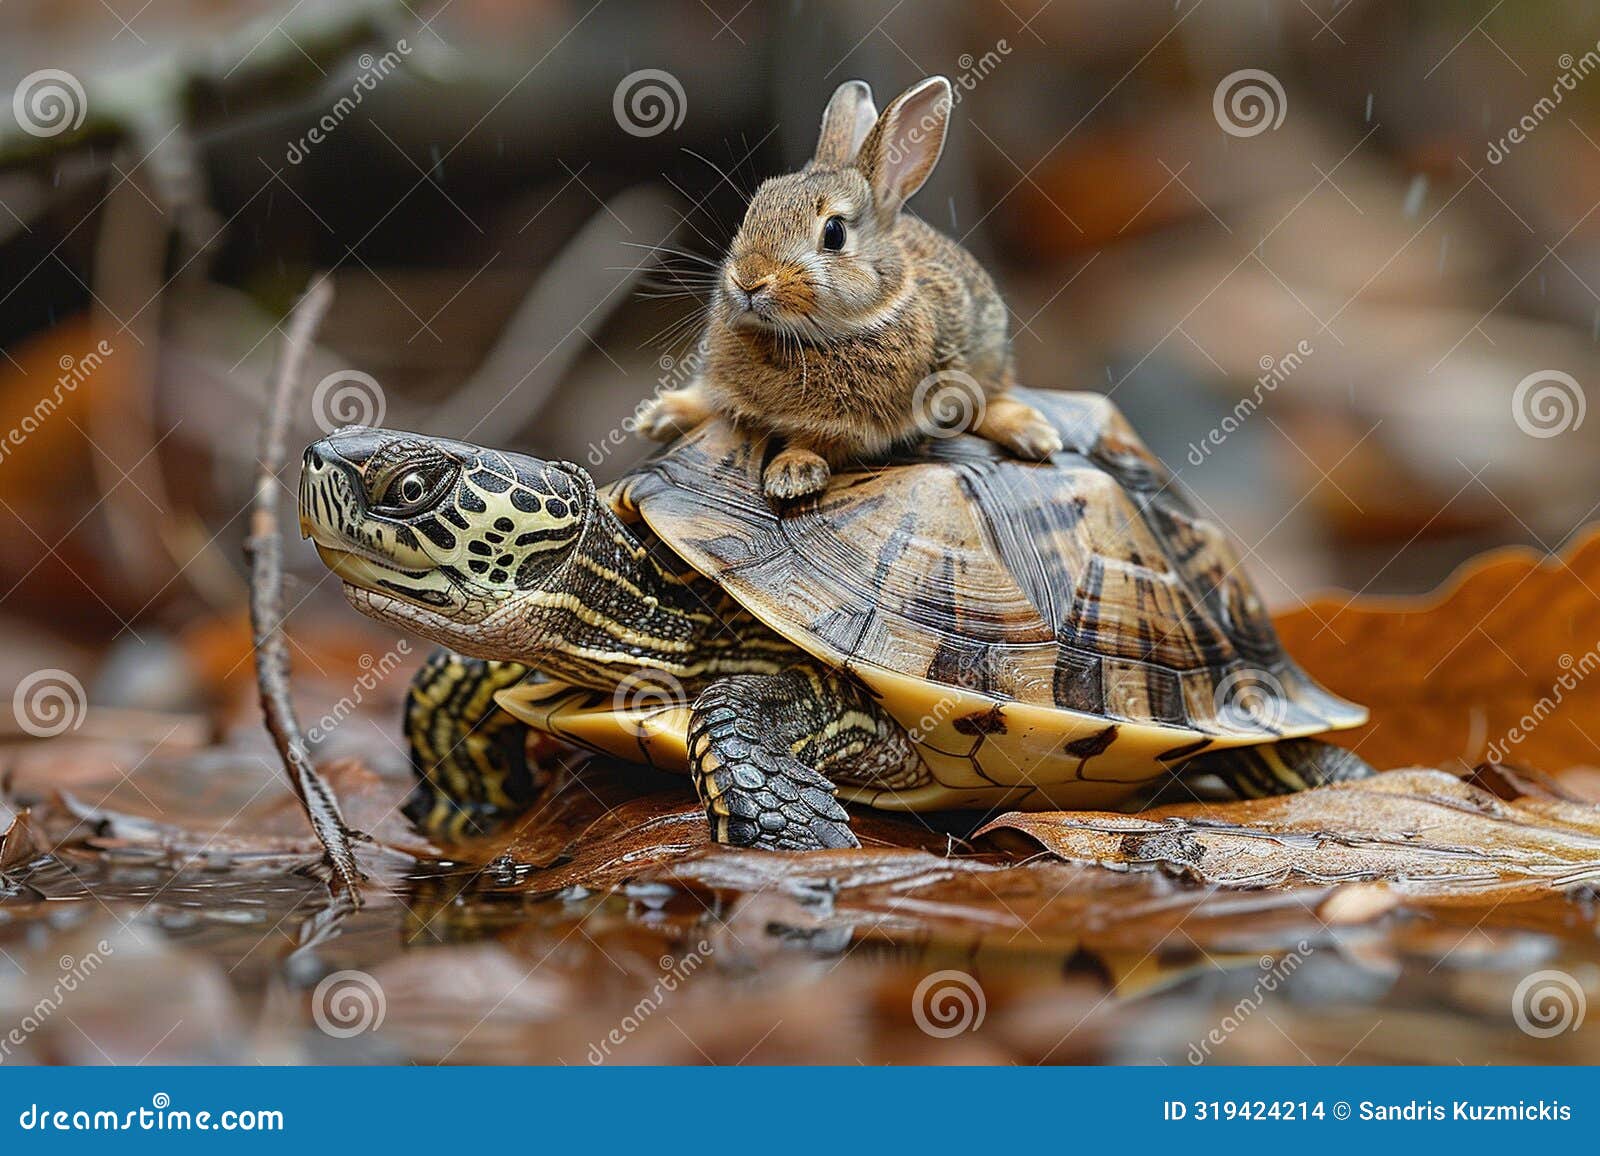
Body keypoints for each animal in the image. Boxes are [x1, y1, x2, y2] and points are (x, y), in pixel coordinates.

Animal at [637, 75, 1061, 502]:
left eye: (834, 234)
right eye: (751, 213)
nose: (749, 280)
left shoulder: (855, 426)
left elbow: (819, 442)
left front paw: (792, 472)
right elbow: (710, 401)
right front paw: (658, 415)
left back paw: (1036, 435)